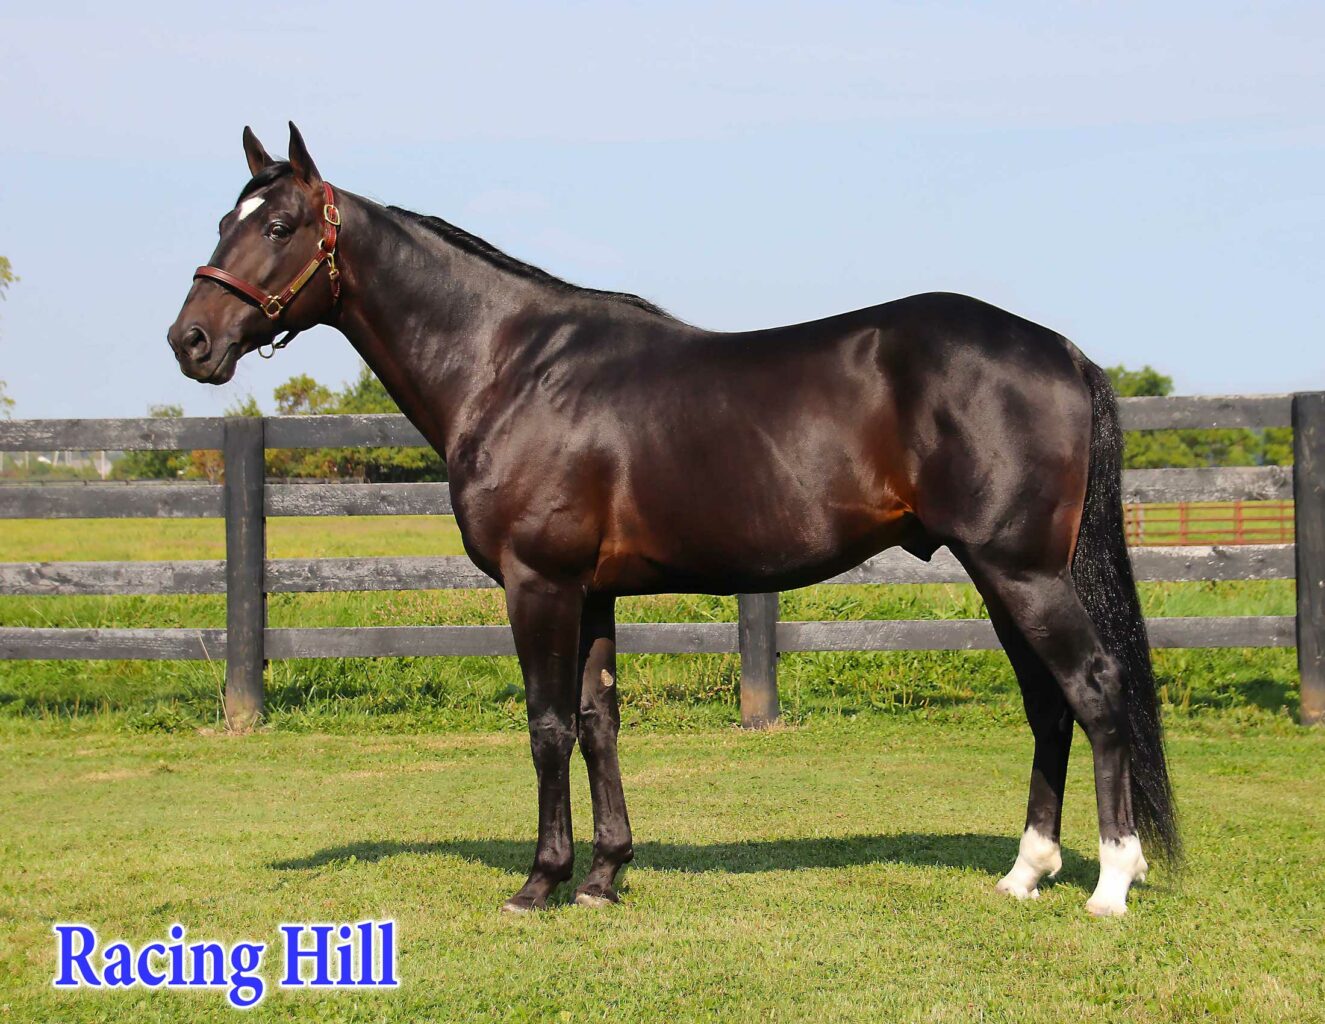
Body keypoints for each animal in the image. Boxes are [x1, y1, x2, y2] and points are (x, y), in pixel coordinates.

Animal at [167, 123, 1178, 917]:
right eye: (223, 222)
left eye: (279, 226)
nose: (190, 341)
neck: (511, 365)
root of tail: (1060, 350)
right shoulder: (592, 593)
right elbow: (599, 723)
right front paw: (604, 876)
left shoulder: (539, 583)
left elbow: (547, 724)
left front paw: (540, 882)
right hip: (999, 572)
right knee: (1047, 703)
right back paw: (1024, 873)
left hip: (1021, 571)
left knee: (1092, 689)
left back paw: (1109, 885)